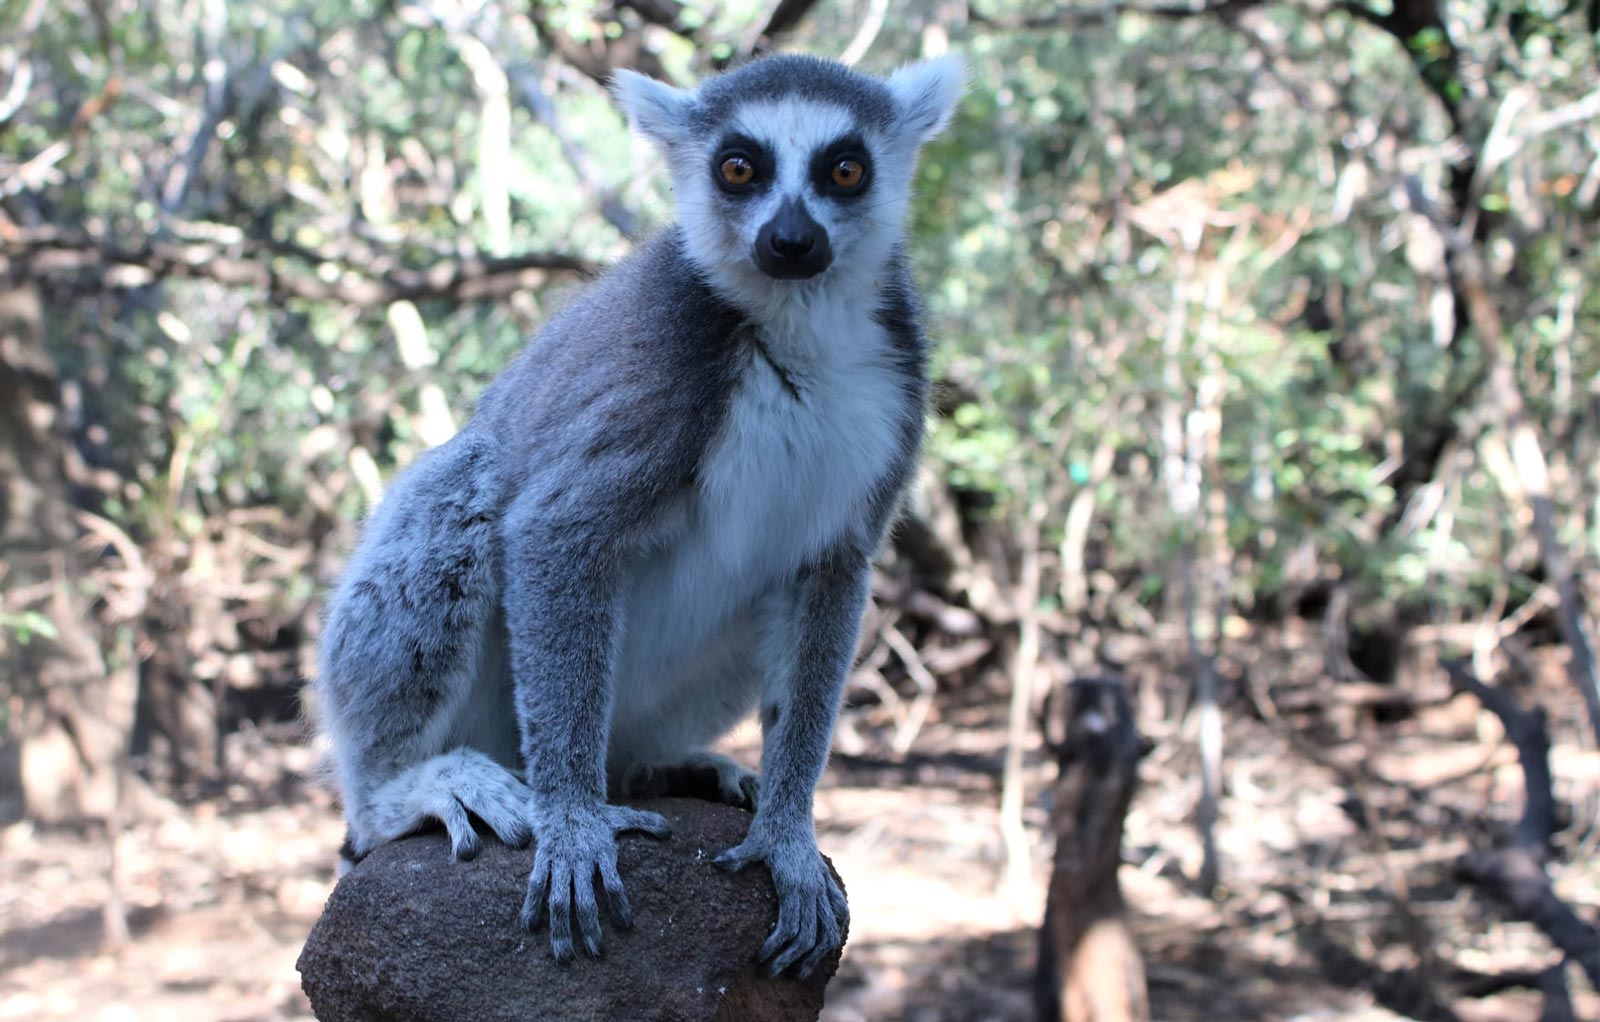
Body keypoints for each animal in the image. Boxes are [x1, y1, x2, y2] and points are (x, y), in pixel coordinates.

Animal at [314, 53, 965, 978]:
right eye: (739, 168)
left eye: (846, 169)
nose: (790, 241)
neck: (800, 327)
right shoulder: (656, 372)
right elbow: (554, 531)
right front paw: (574, 827)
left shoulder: (894, 400)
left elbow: (832, 576)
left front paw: (788, 837)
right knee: (470, 485)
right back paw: (408, 789)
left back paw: (659, 771)